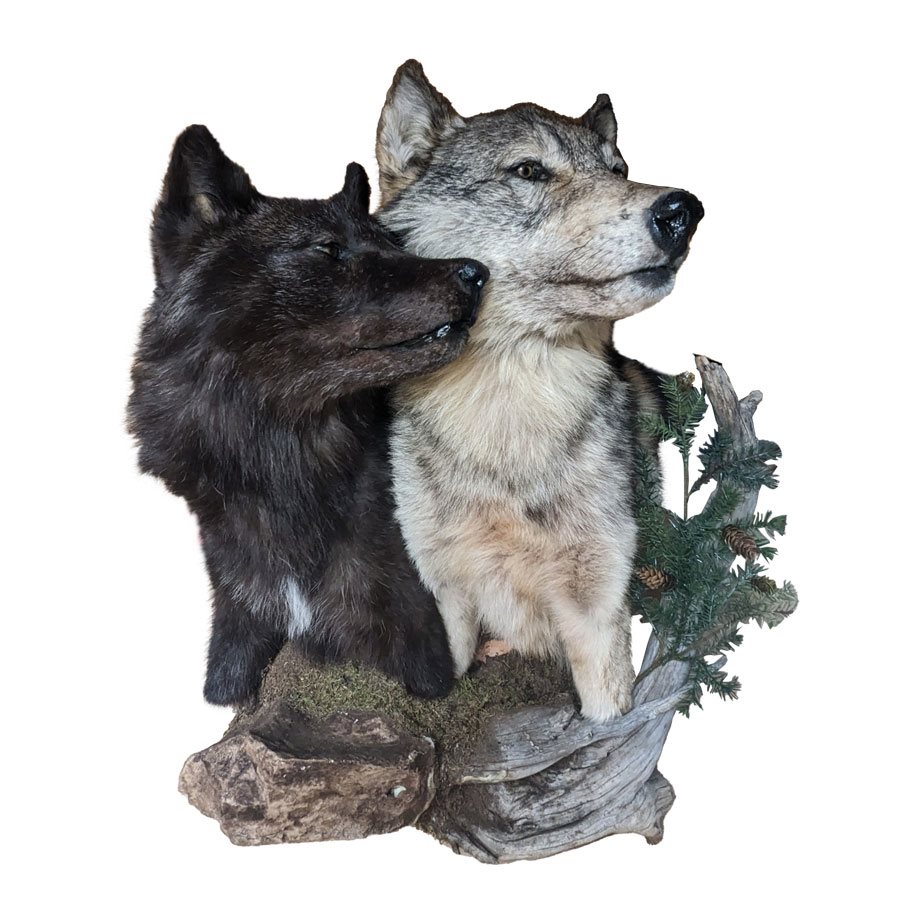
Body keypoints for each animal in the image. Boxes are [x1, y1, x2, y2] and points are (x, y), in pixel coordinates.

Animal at [375, 61, 703, 721]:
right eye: (529, 170)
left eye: (618, 170)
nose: (684, 210)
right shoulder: (444, 591)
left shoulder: (597, 608)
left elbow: (605, 720)